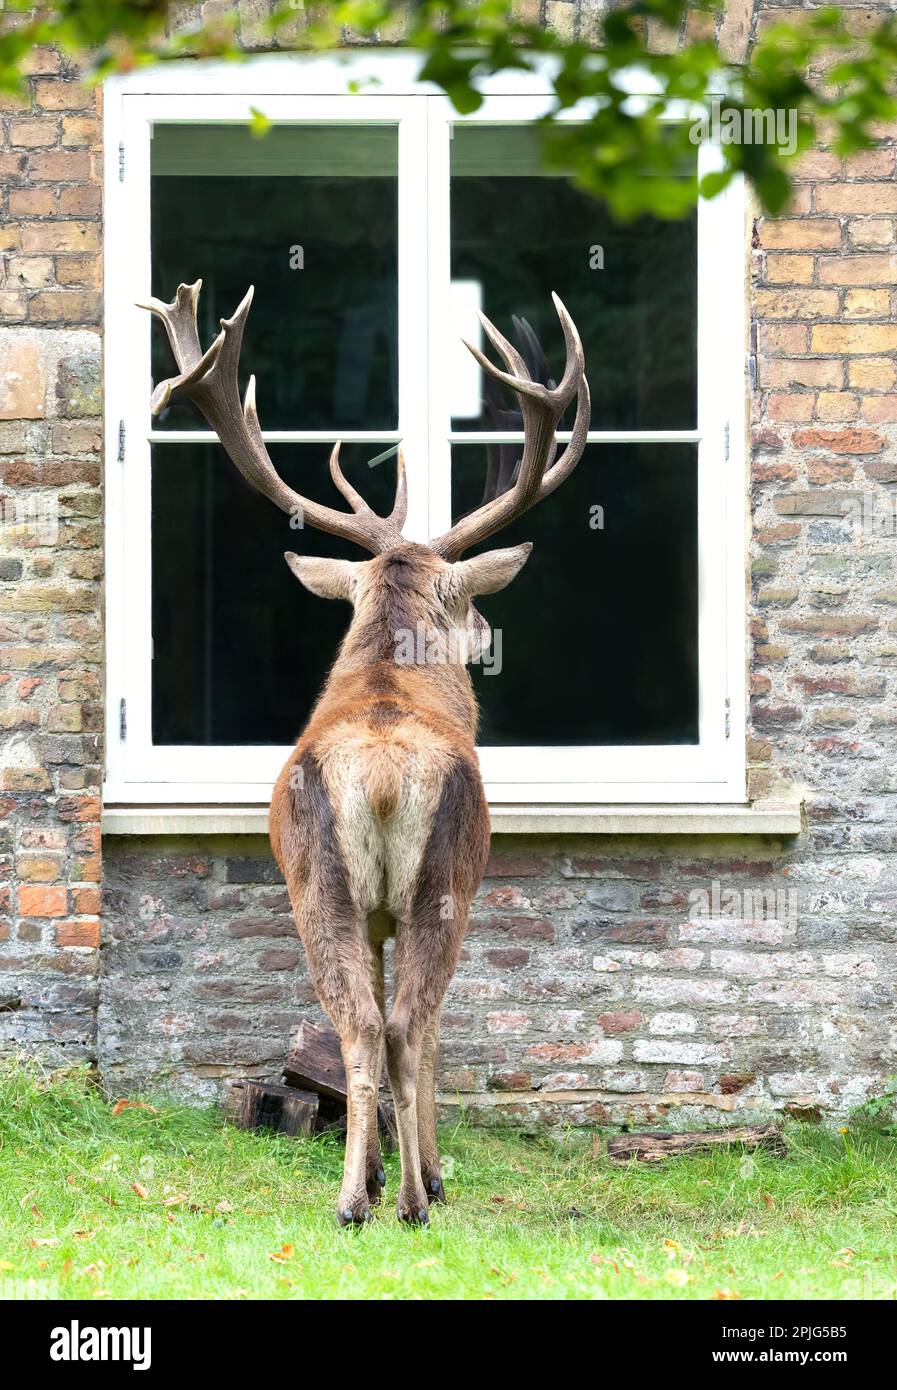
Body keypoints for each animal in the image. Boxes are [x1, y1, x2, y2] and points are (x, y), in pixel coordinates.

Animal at [141, 280, 589, 1226]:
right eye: (464, 603)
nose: (483, 632)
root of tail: (382, 776)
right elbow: (428, 1028)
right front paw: (426, 1172)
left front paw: (384, 1169)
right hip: (441, 880)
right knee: (407, 1023)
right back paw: (413, 1198)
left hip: (320, 882)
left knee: (358, 1020)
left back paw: (357, 1196)